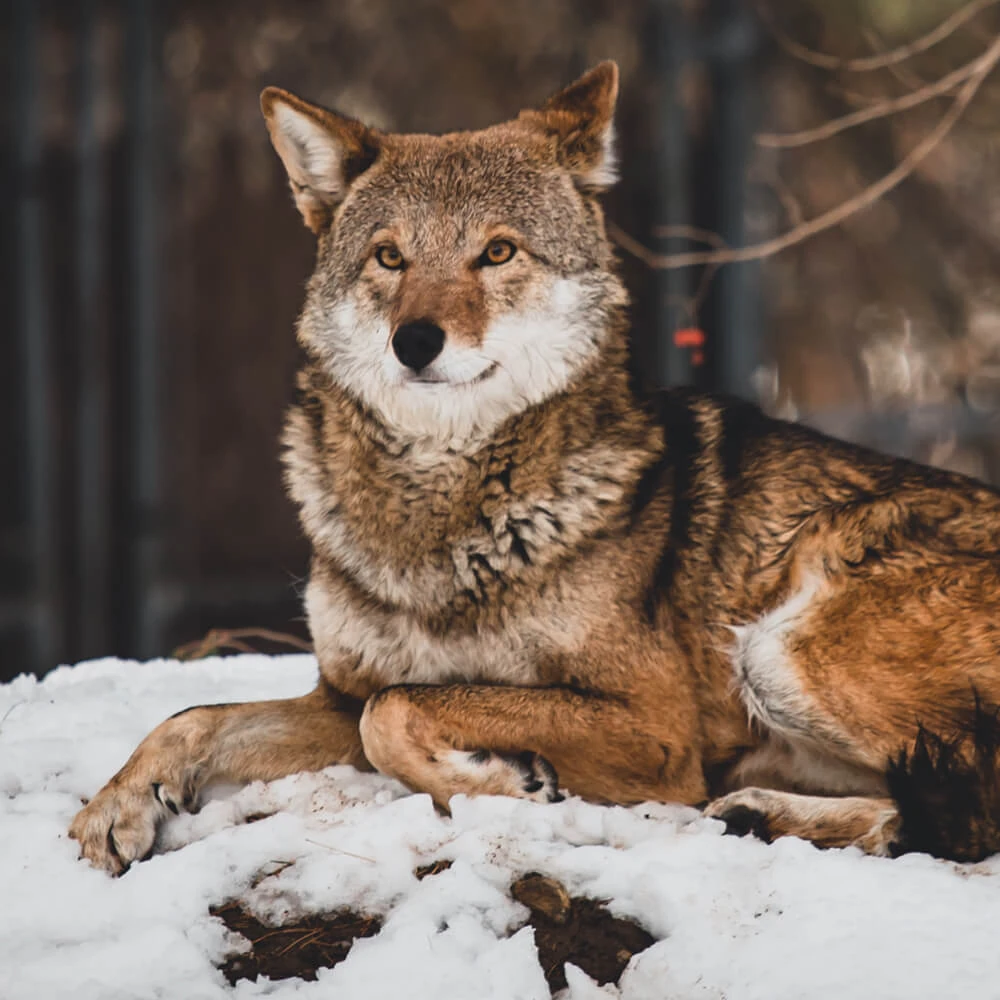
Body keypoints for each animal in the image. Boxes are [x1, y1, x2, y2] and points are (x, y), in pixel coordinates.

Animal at [71, 62, 1000, 874]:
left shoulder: (654, 730)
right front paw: (116, 805)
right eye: (389, 258)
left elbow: (395, 713)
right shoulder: (338, 690)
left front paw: (502, 783)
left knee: (970, 815)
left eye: (498, 252)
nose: (416, 341)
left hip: (780, 643)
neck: (435, 510)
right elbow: (196, 715)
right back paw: (768, 814)